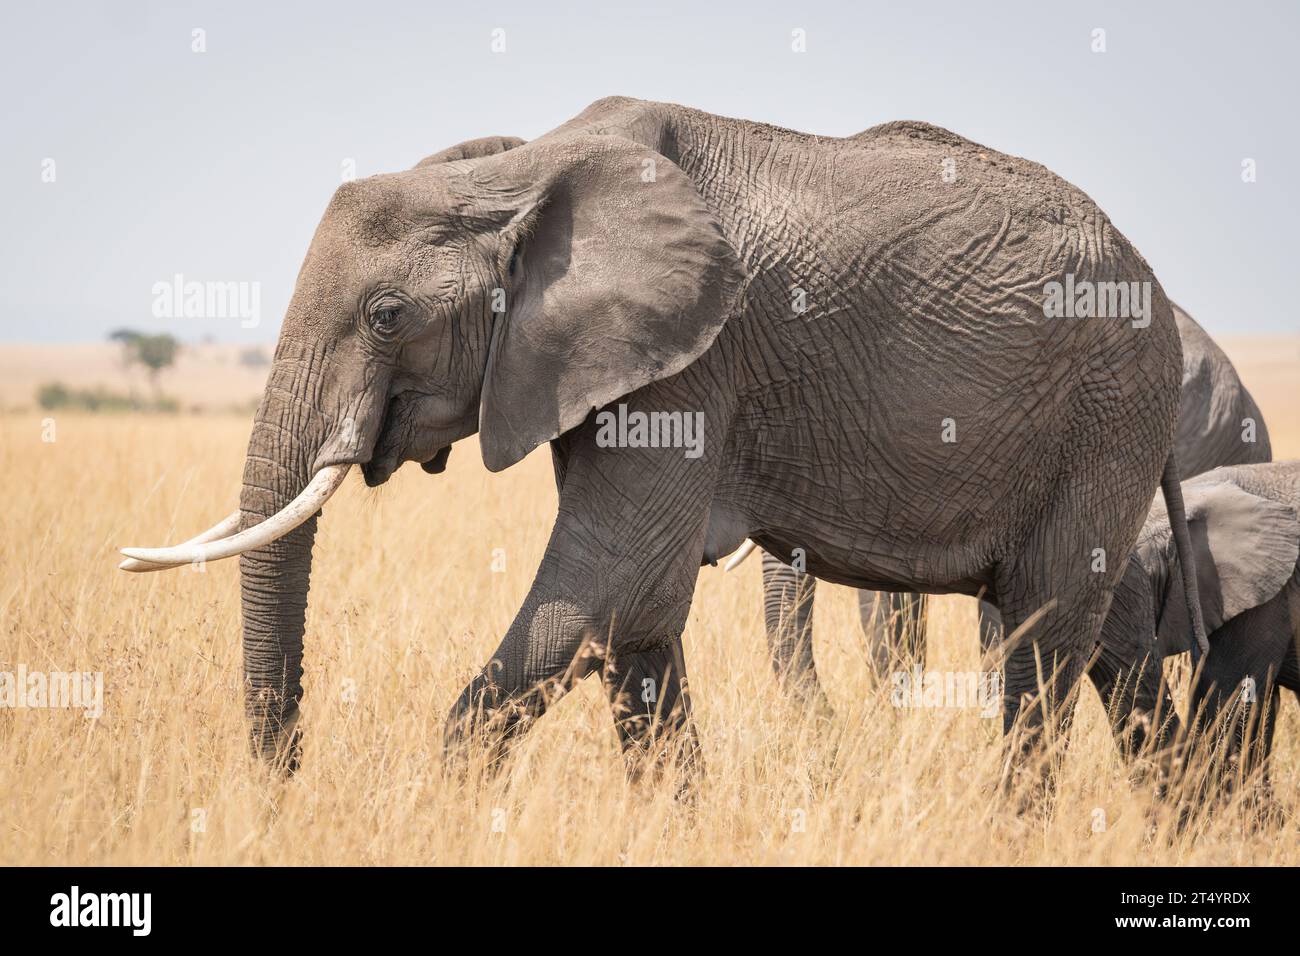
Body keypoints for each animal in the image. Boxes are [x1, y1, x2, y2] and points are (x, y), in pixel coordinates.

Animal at [118, 96, 1207, 779]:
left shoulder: (693, 360)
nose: (287, 782)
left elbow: (602, 588)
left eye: (387, 317)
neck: (520, 170)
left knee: (1041, 640)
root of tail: (1153, 281)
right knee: (1111, 642)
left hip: (1107, 409)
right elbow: (638, 622)